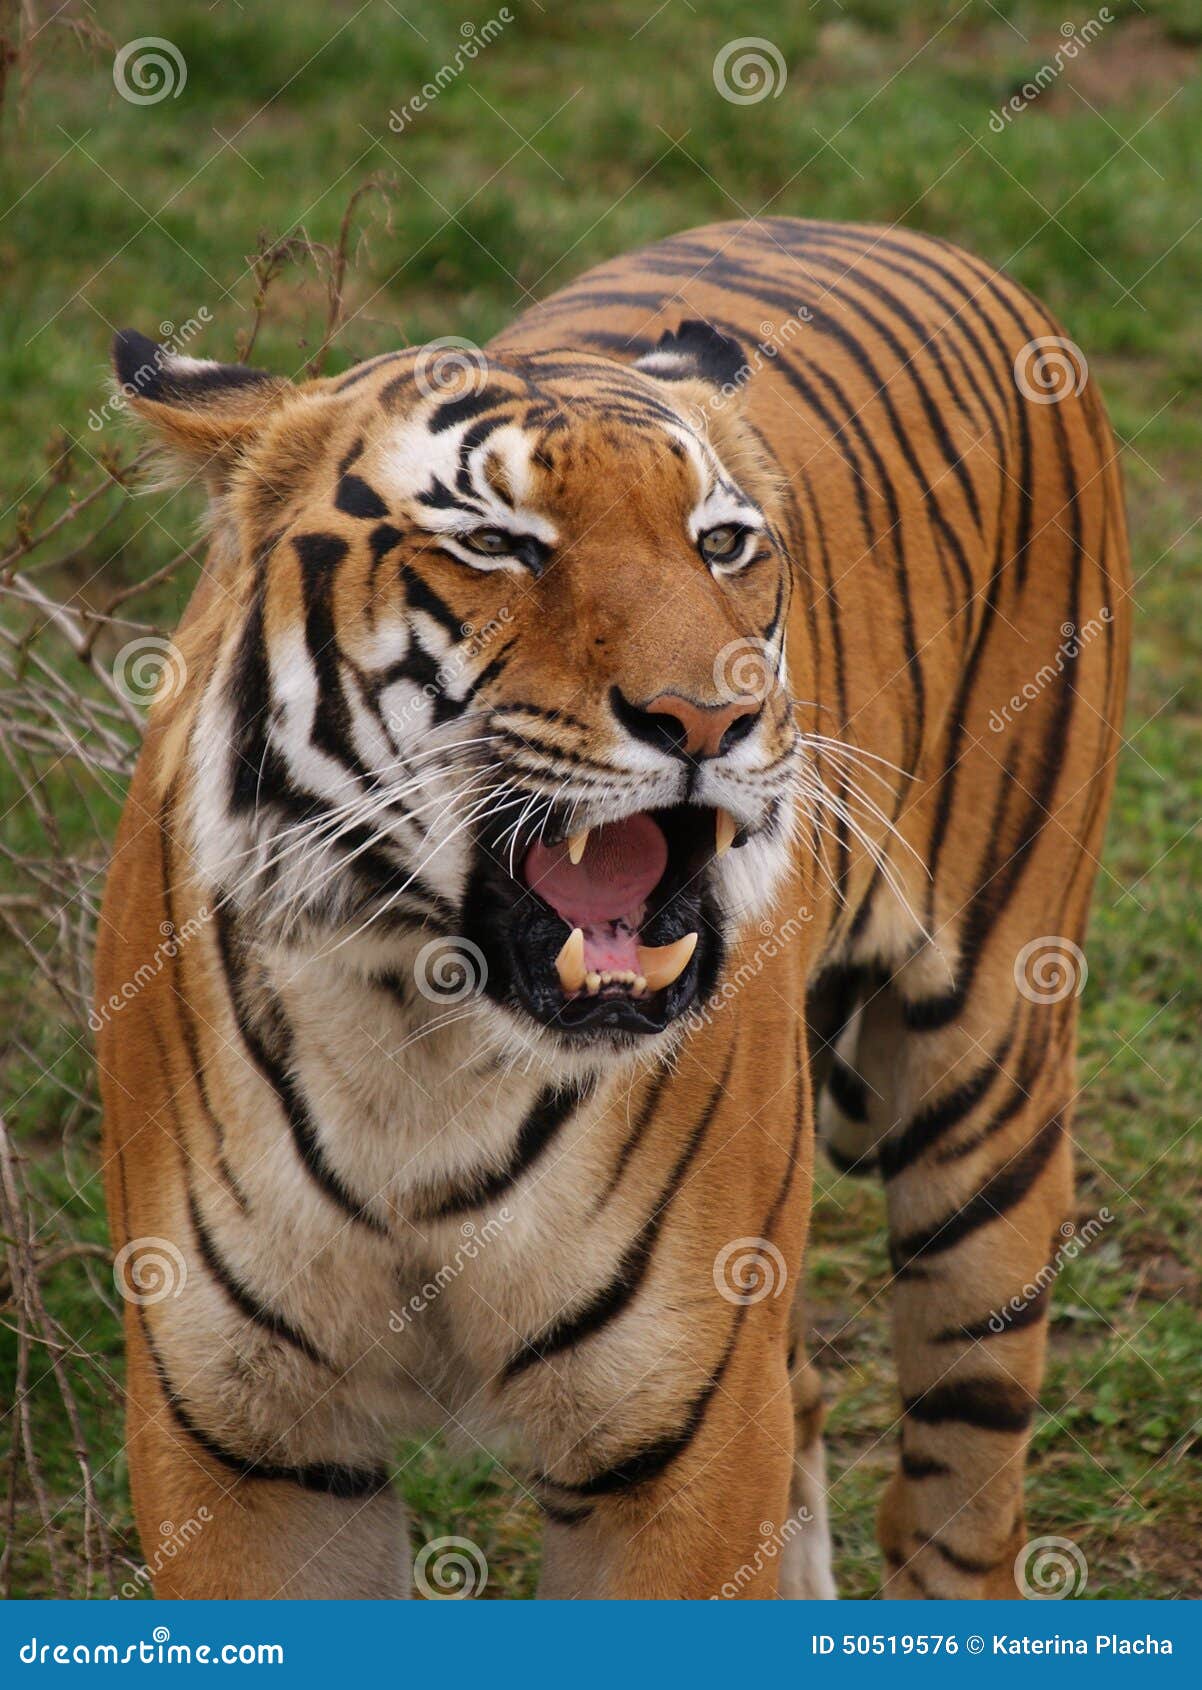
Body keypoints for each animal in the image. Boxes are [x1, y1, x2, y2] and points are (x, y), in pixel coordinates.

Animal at [95, 216, 1130, 1600]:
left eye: (722, 543)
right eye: (496, 545)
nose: (714, 714)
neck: (417, 1041)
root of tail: (921, 235)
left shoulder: (678, 1428)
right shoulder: (239, 1441)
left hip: (986, 1082)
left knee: (954, 1505)